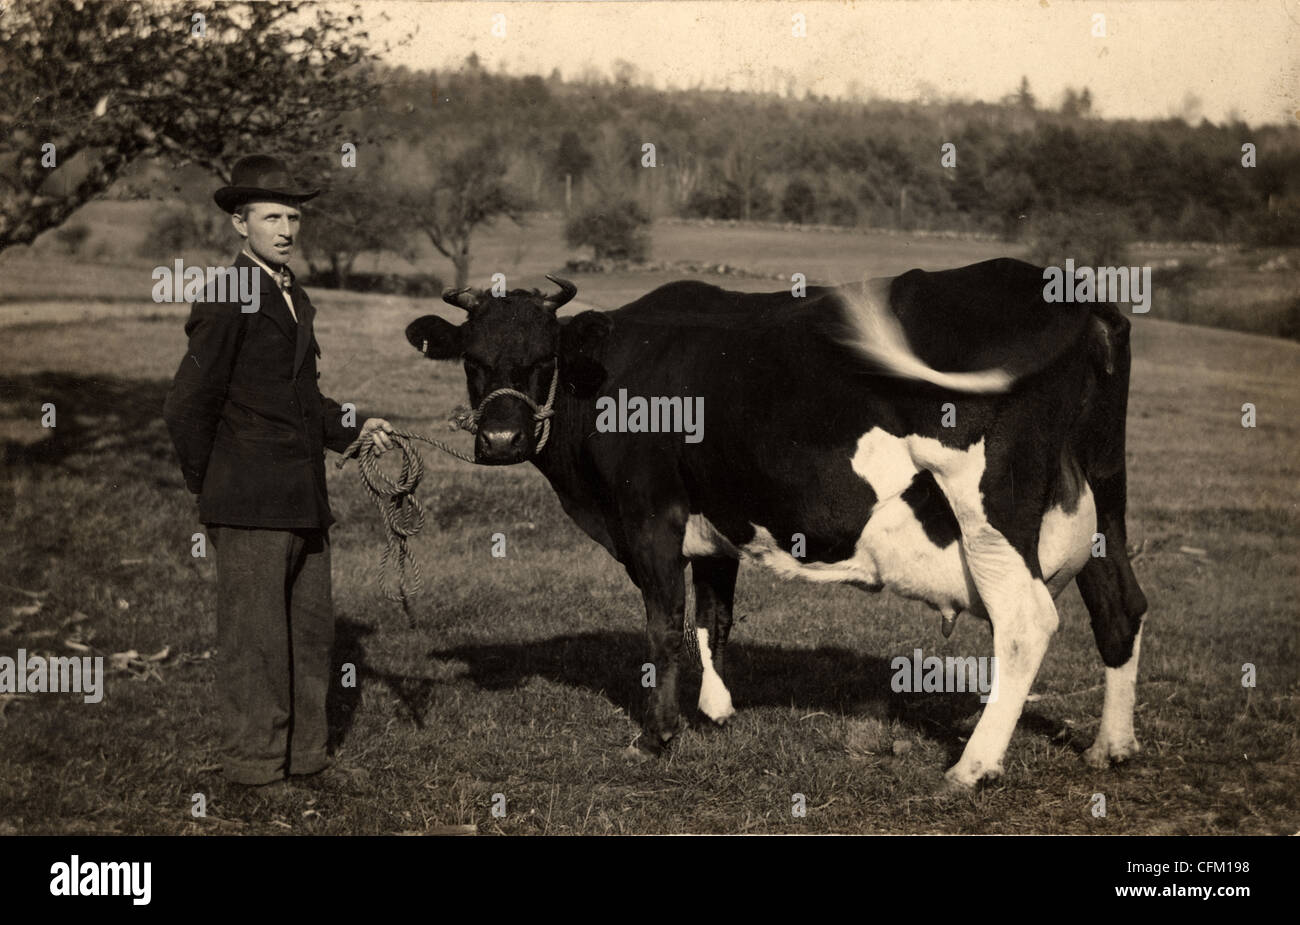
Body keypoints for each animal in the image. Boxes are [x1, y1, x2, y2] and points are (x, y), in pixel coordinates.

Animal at [405, 258, 1149, 787]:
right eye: (473, 361)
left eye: (543, 360)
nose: (500, 439)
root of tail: (1073, 295)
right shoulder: (714, 520)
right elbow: (713, 618)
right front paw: (716, 711)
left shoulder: (650, 516)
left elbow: (664, 624)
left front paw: (658, 734)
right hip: (1104, 491)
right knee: (1121, 606)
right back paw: (1111, 747)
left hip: (991, 511)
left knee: (1026, 622)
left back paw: (973, 766)